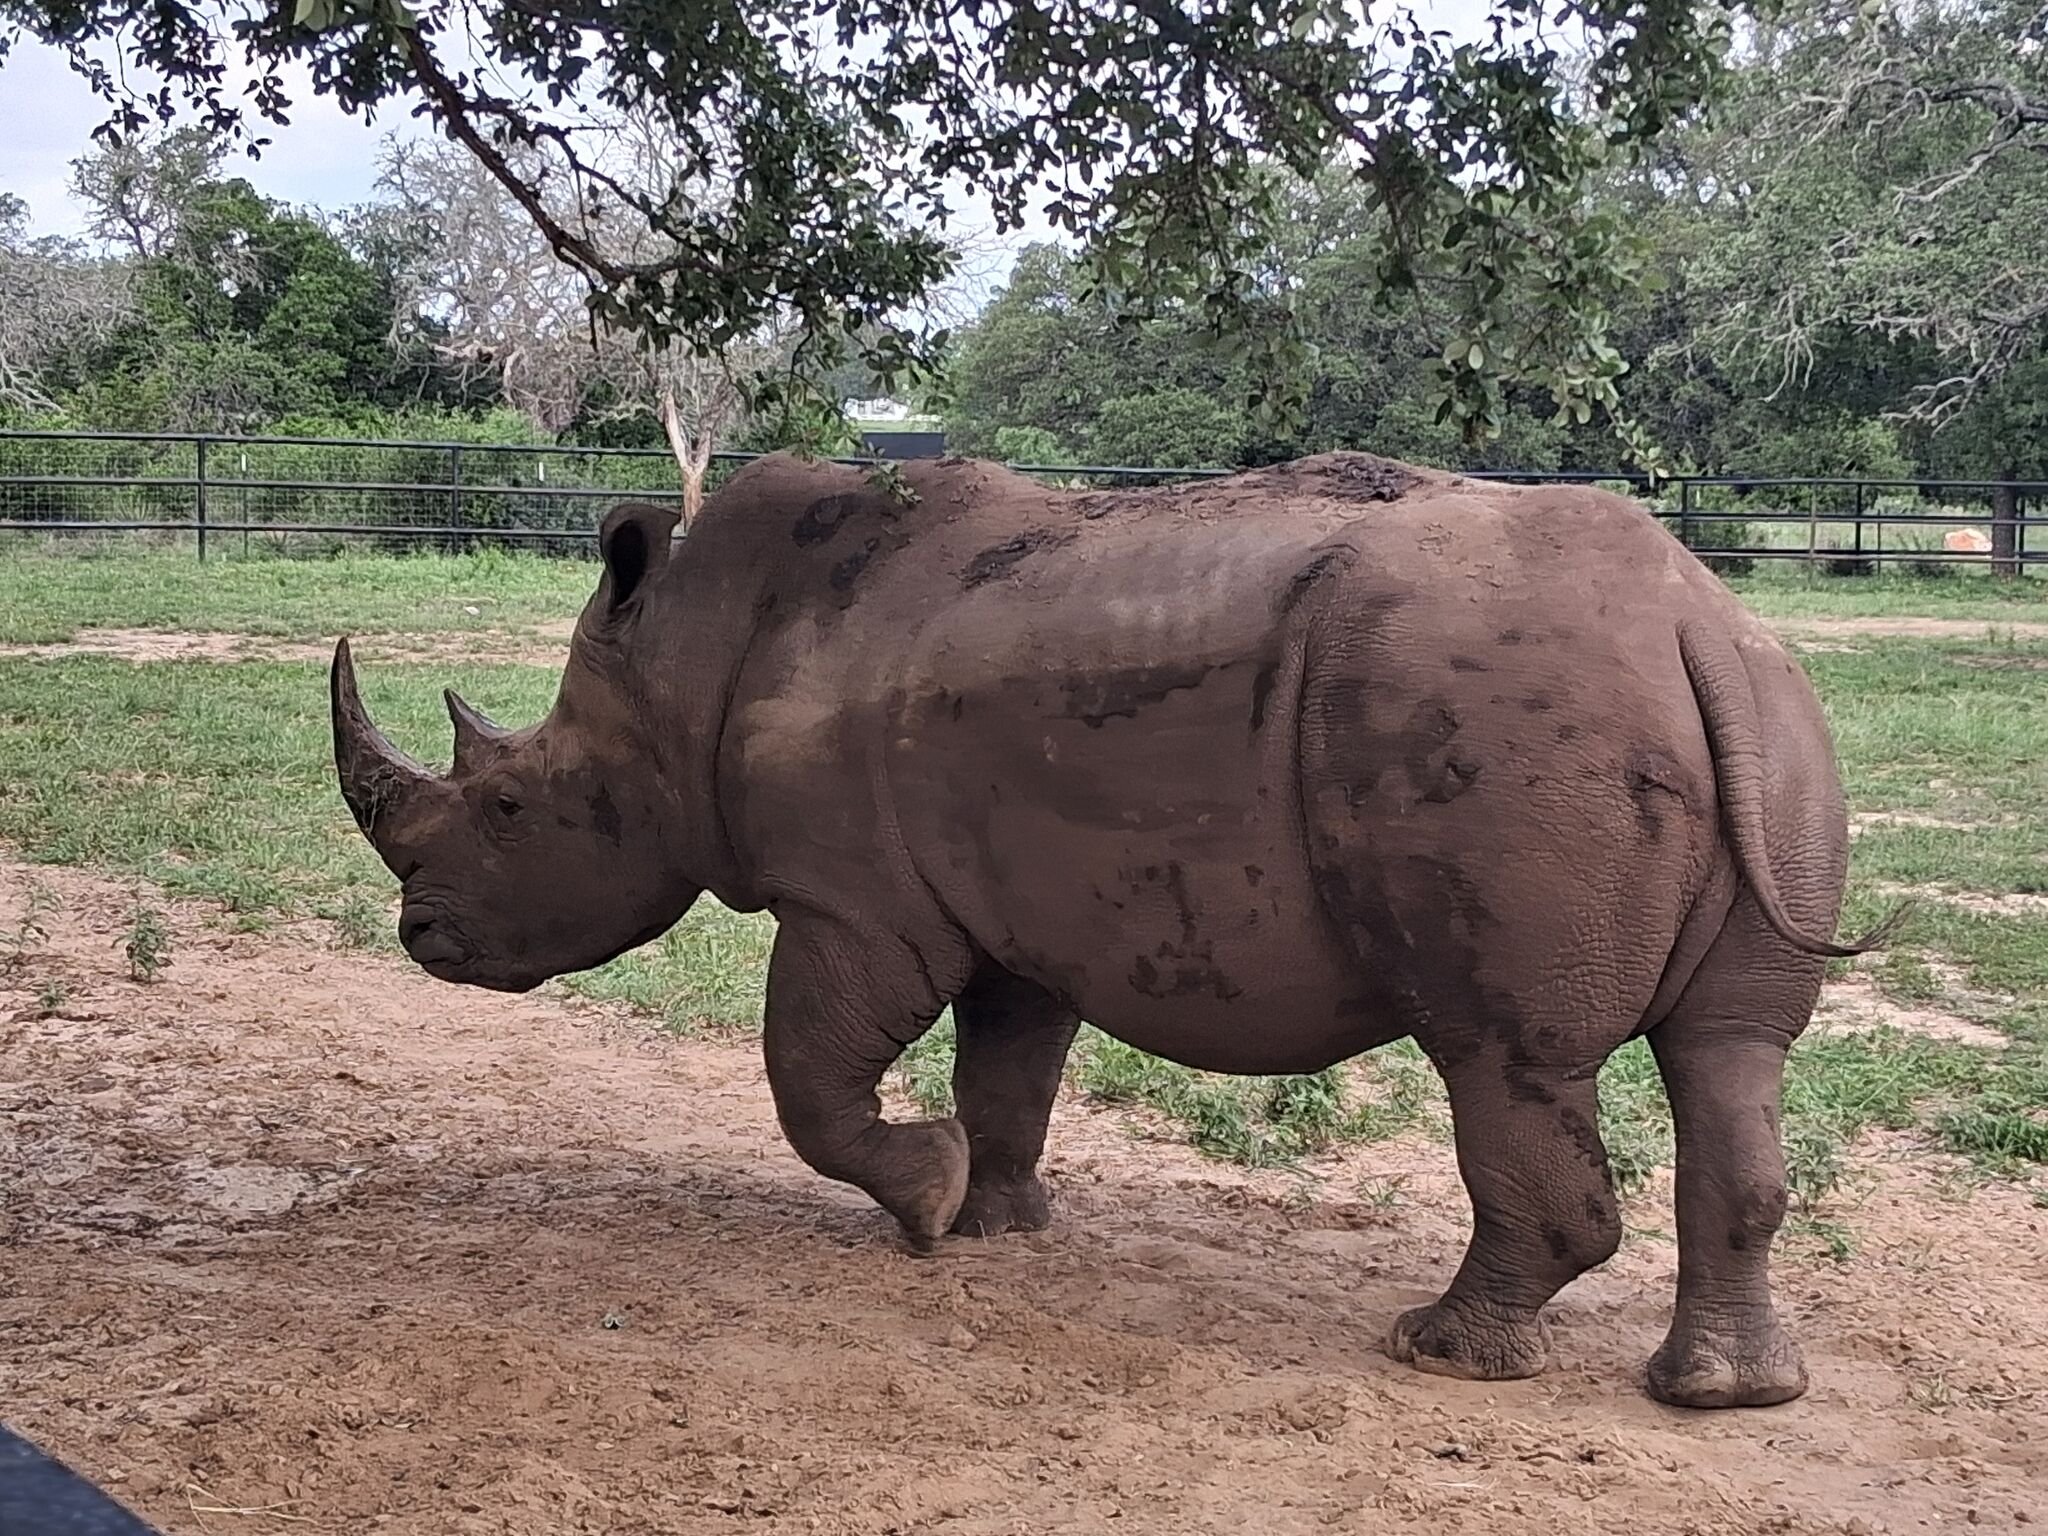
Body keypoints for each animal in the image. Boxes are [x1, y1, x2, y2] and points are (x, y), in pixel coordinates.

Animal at [332, 450, 1884, 1409]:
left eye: (515, 805)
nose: (420, 934)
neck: (684, 666)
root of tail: (1693, 621)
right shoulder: (1015, 905)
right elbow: (1007, 1072)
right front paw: (996, 1220)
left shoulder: (856, 901)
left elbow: (810, 1080)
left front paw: (922, 1206)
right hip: (1767, 711)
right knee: (1732, 1052)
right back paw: (1724, 1396)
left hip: (1502, 726)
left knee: (1501, 1054)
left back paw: (1438, 1353)